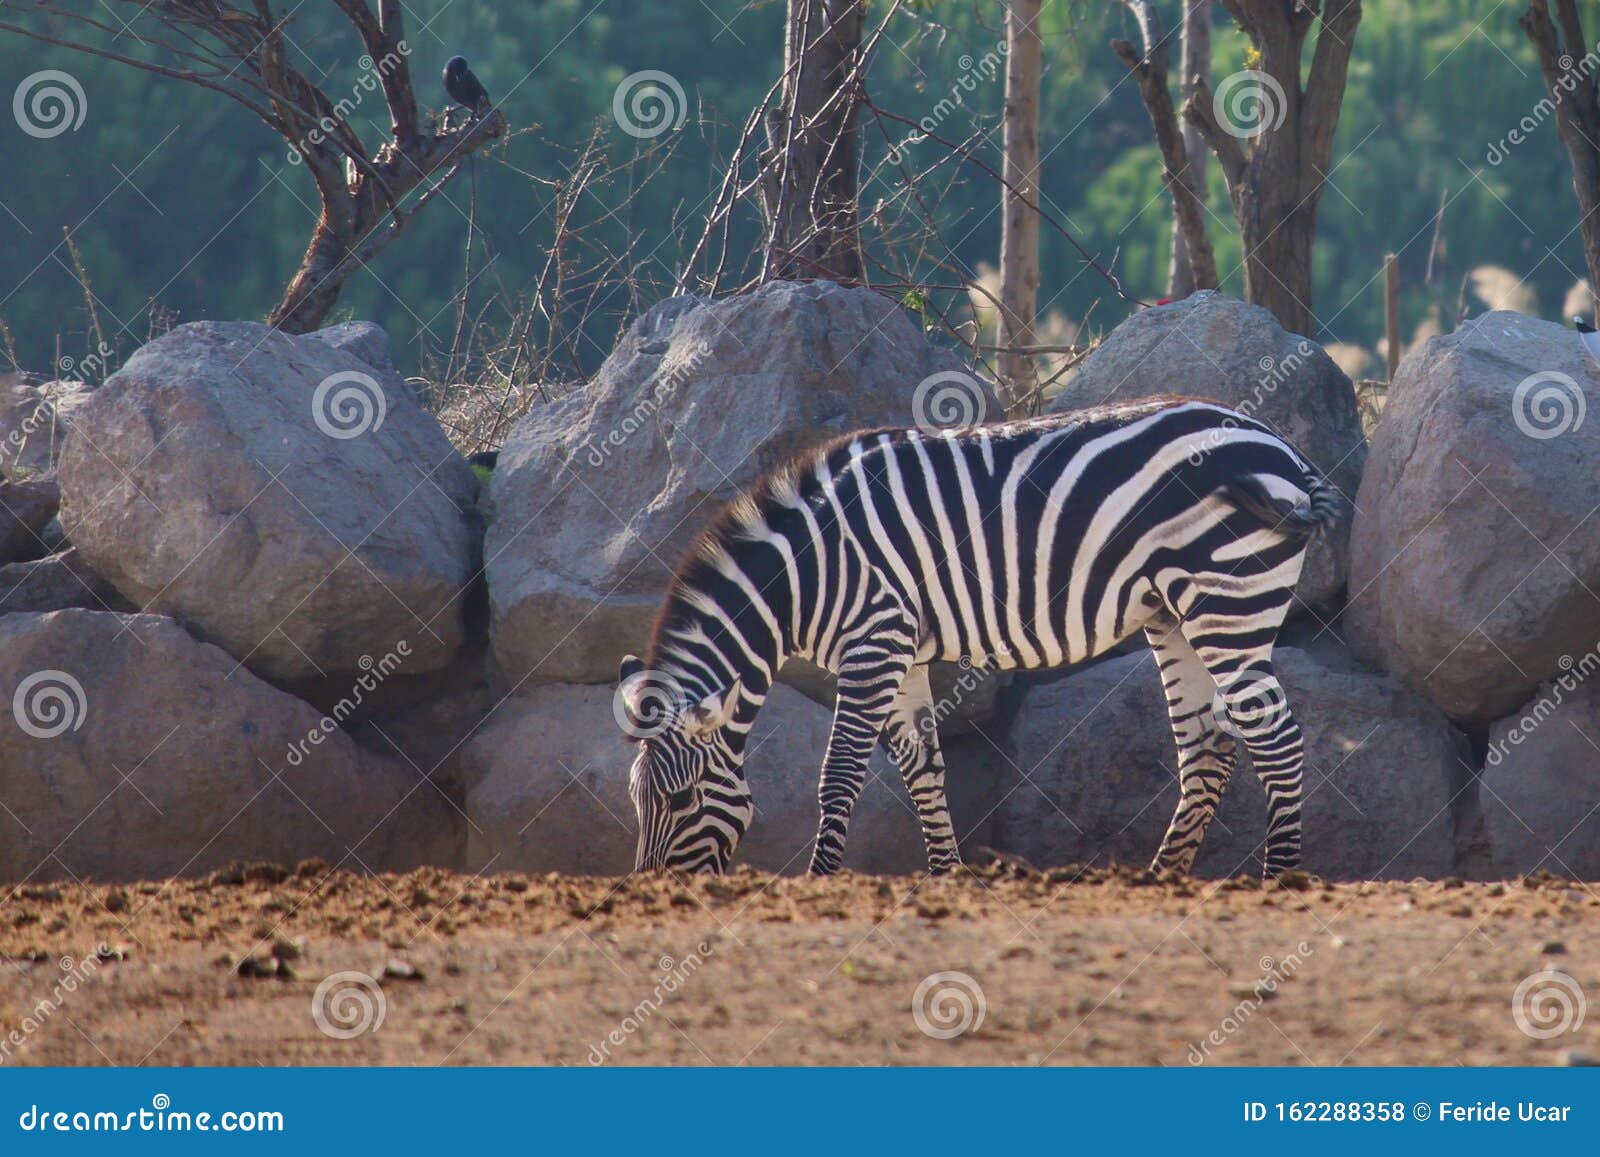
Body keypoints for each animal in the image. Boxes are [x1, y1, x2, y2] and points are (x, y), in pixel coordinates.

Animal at [616, 396, 1343, 879]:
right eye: (635, 799)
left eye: (680, 799)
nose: (654, 895)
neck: (808, 570)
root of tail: (1279, 446)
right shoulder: (902, 651)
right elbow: (923, 769)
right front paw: (946, 878)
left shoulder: (873, 640)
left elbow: (841, 772)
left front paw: (822, 882)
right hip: (1176, 614)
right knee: (1207, 749)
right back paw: (1161, 879)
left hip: (1229, 603)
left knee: (1275, 739)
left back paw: (1279, 880)